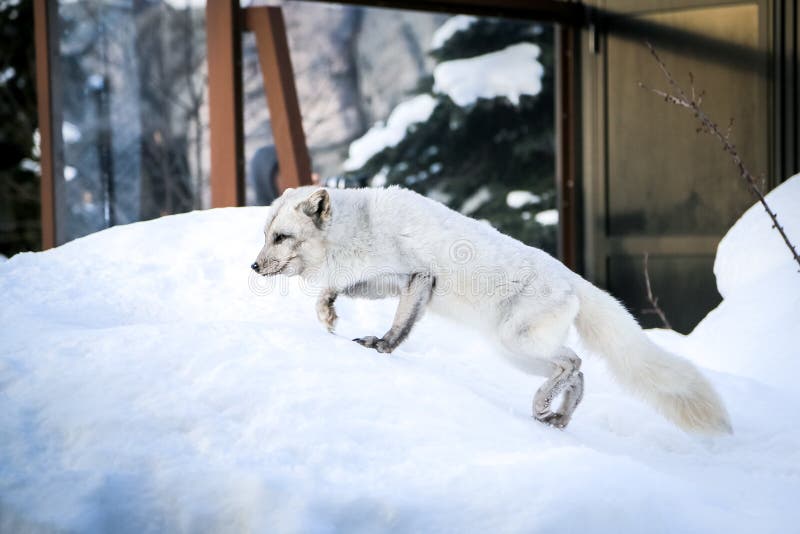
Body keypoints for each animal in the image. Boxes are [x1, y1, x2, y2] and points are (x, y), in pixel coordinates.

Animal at [251, 186, 732, 434]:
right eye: (266, 235)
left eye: (281, 237)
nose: (253, 267)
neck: (361, 225)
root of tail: (572, 278)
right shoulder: (393, 280)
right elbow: (334, 290)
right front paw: (328, 314)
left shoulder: (418, 279)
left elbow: (397, 328)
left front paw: (379, 348)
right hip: (516, 355)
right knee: (579, 374)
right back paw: (558, 416)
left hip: (516, 342)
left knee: (574, 363)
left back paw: (543, 406)